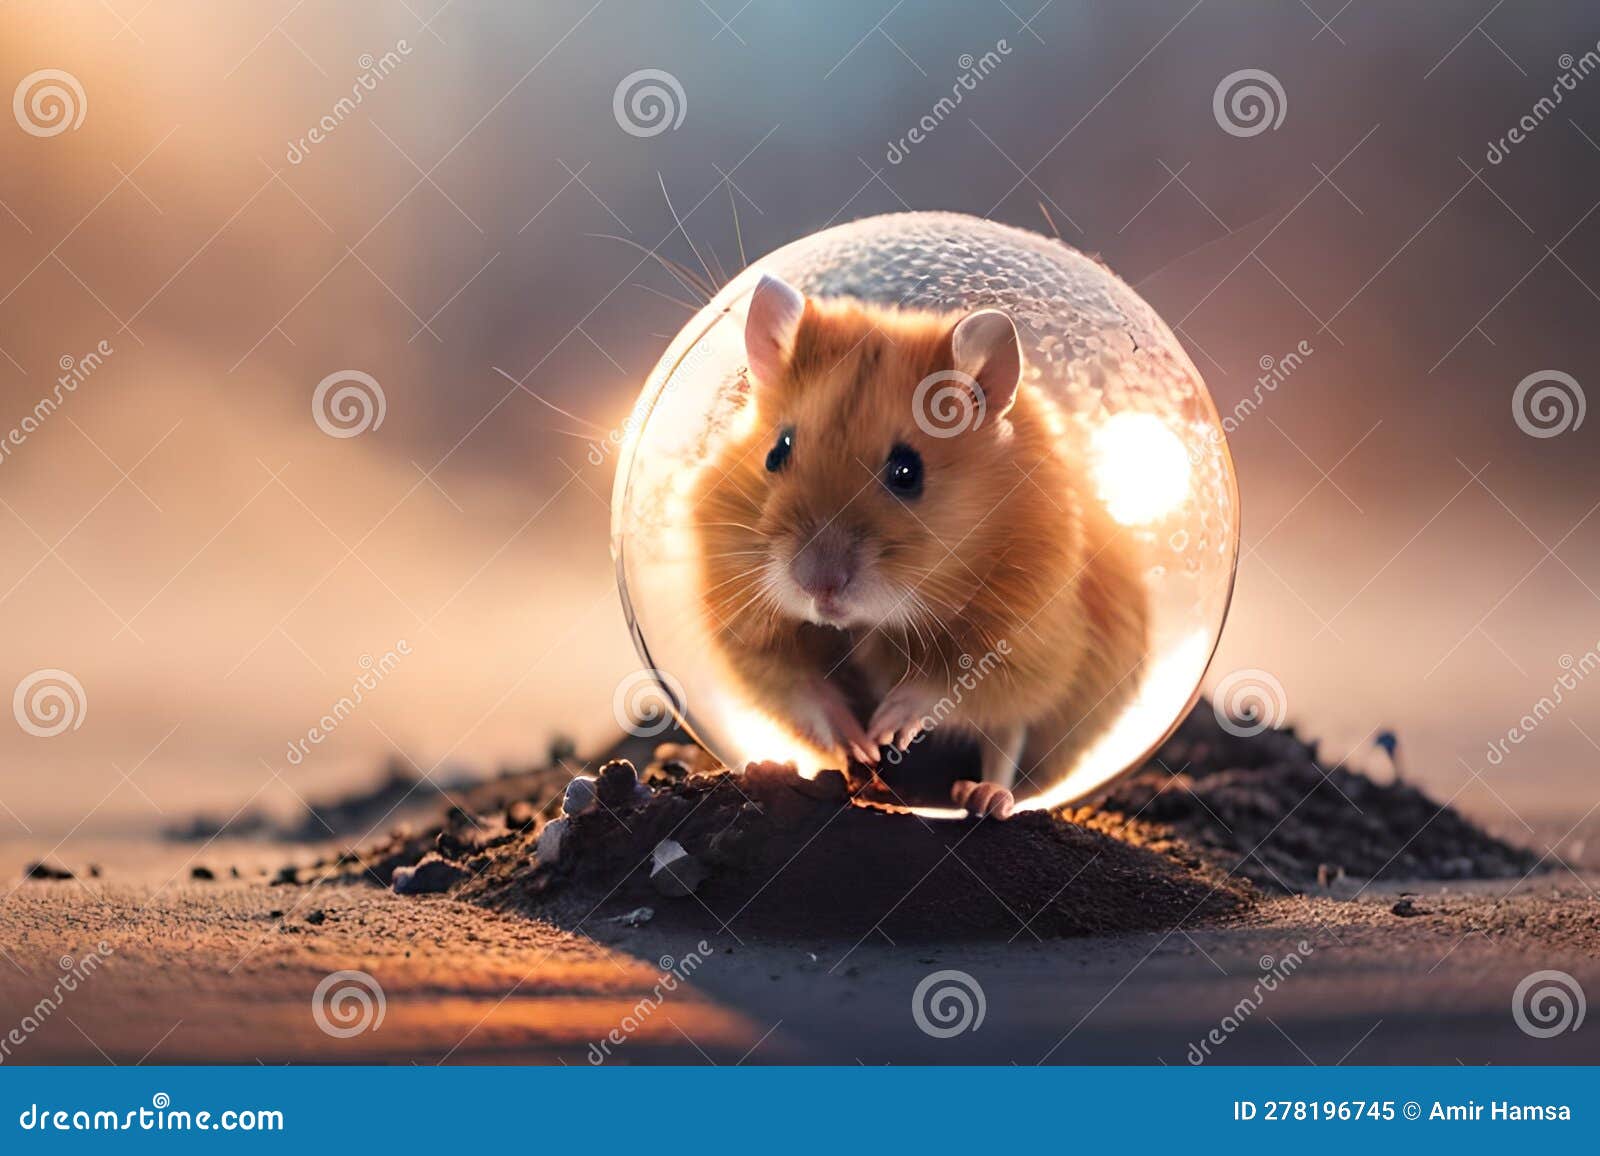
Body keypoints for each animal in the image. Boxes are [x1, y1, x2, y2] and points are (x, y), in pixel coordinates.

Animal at [690, 272, 1149, 819]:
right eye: (776, 453)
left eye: (908, 472)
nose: (818, 586)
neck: (869, 622)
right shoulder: (747, 639)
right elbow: (805, 690)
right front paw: (859, 741)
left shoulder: (1025, 643)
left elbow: (947, 688)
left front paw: (887, 725)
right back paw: (776, 767)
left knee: (1005, 741)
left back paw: (984, 798)